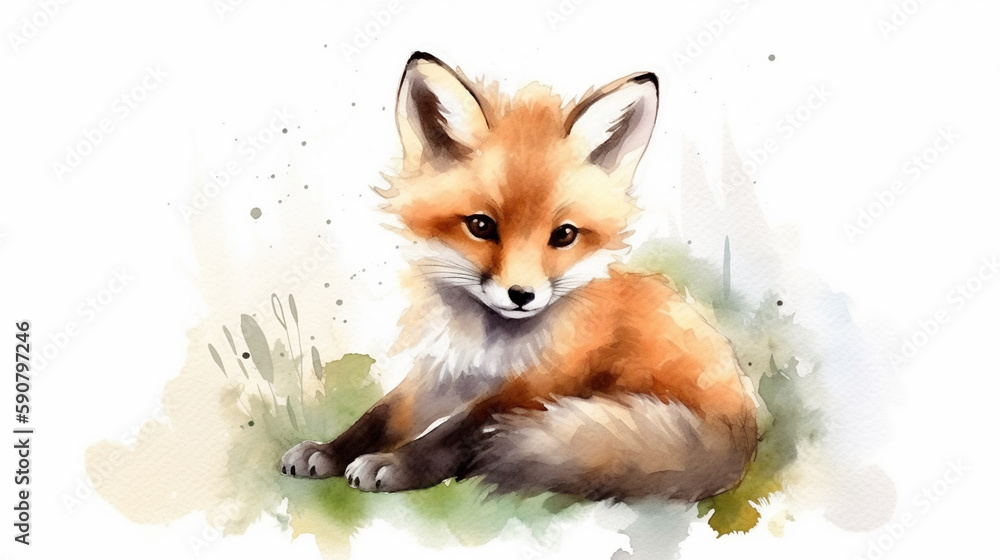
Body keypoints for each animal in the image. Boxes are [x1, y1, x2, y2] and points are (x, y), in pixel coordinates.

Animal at [279, 52, 758, 502]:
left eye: (564, 234)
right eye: (481, 225)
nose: (521, 294)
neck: (492, 346)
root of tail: (744, 432)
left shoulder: (539, 386)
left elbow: (457, 430)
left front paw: (399, 464)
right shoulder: (444, 373)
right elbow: (381, 414)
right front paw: (329, 450)